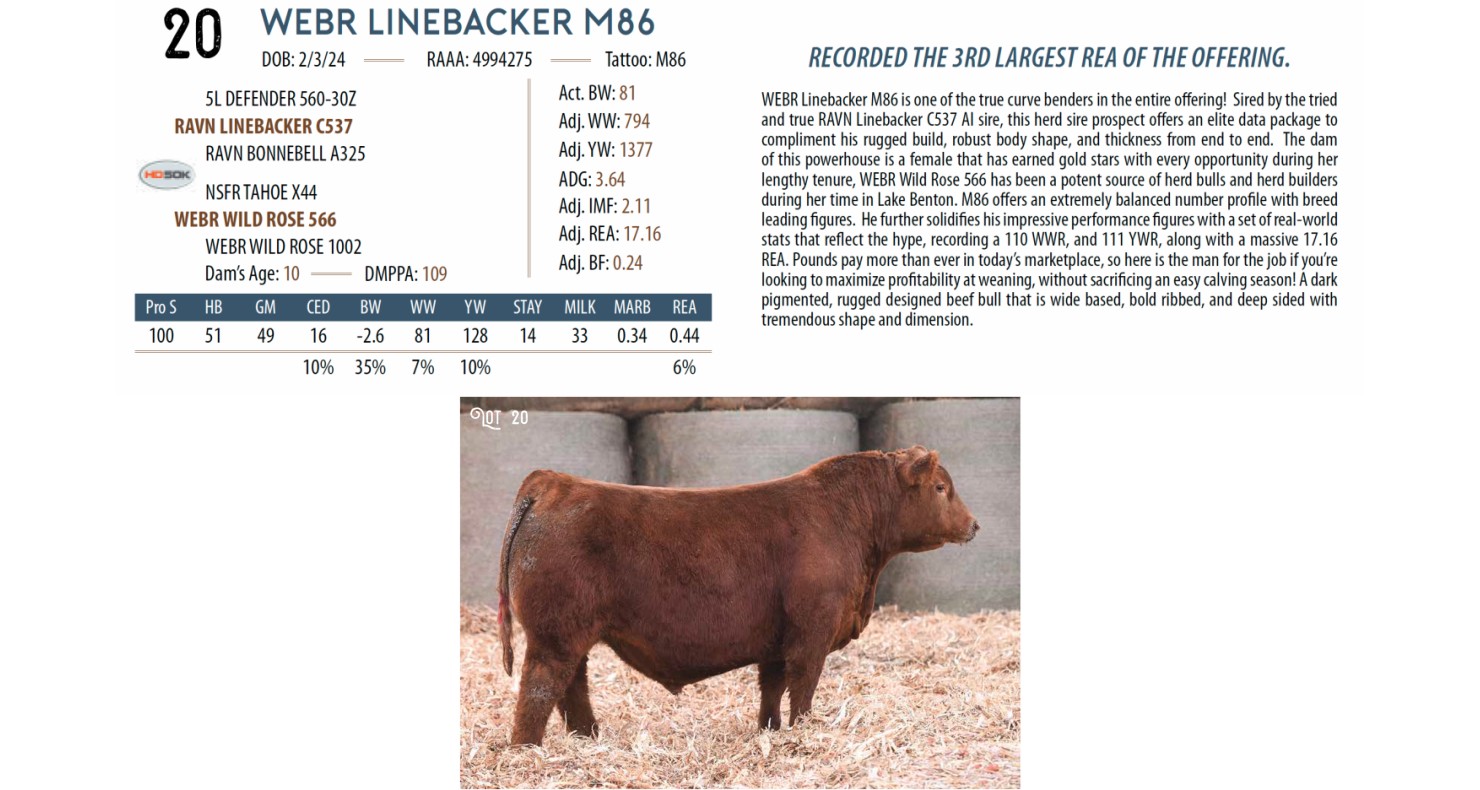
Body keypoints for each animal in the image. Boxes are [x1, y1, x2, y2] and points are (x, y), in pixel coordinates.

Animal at [495, 445, 979, 745]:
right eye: (941, 487)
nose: (974, 525)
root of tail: (552, 482)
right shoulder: (812, 633)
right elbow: (803, 686)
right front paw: (803, 732)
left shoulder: (777, 641)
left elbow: (772, 689)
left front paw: (770, 731)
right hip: (555, 636)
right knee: (540, 690)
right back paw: (529, 751)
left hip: (570, 636)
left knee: (571, 688)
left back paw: (589, 739)